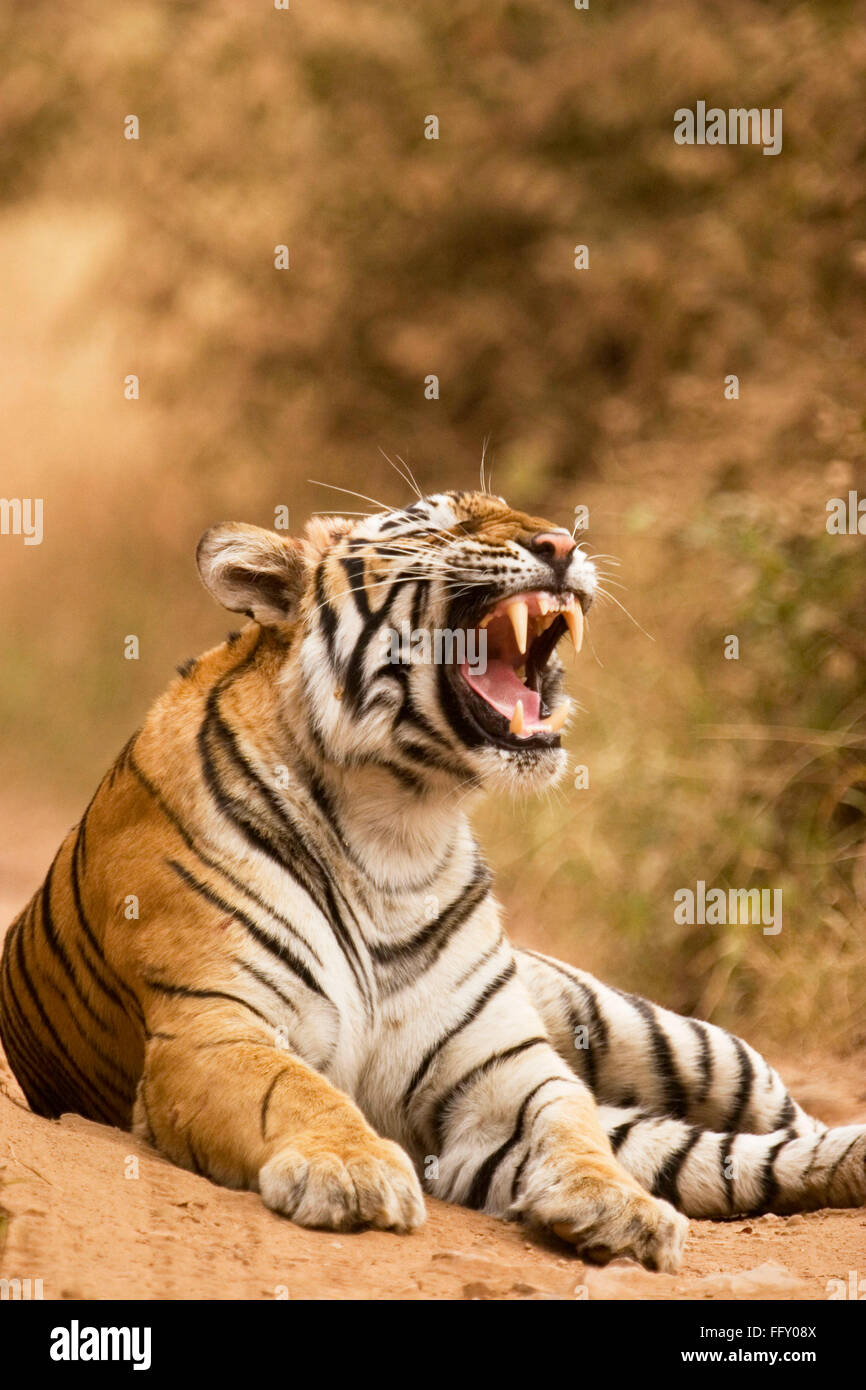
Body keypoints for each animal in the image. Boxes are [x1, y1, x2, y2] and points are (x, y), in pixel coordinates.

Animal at [2, 488, 865, 1274]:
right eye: (438, 524)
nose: (562, 542)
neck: (394, 829)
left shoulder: (501, 1063)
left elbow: (567, 1124)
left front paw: (618, 1207)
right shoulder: (215, 1025)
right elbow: (298, 1090)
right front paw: (350, 1171)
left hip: (679, 1039)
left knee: (770, 1126)